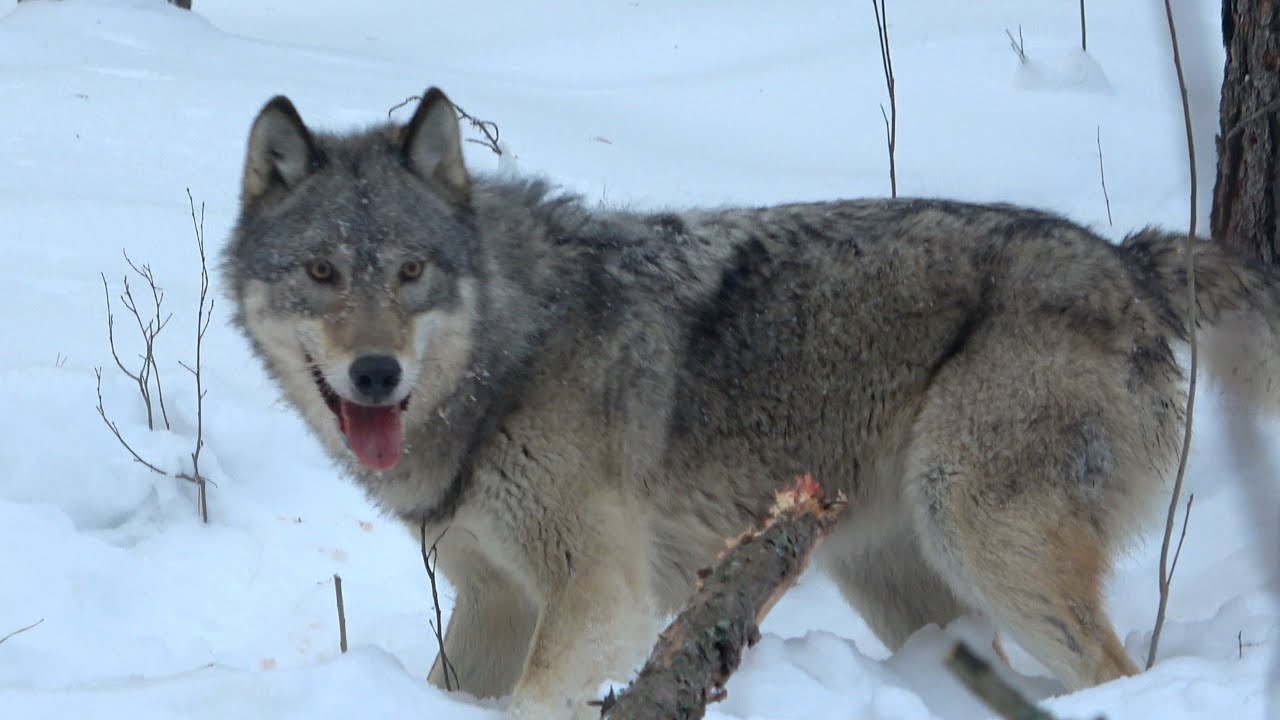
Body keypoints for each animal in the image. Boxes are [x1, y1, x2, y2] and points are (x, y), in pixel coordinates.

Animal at [222, 87, 1280, 718]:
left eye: (410, 273)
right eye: (321, 273)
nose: (375, 375)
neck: (506, 359)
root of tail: (1132, 263)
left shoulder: (596, 592)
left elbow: (536, 698)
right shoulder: (494, 600)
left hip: (980, 535)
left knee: (1118, 675)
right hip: (906, 583)